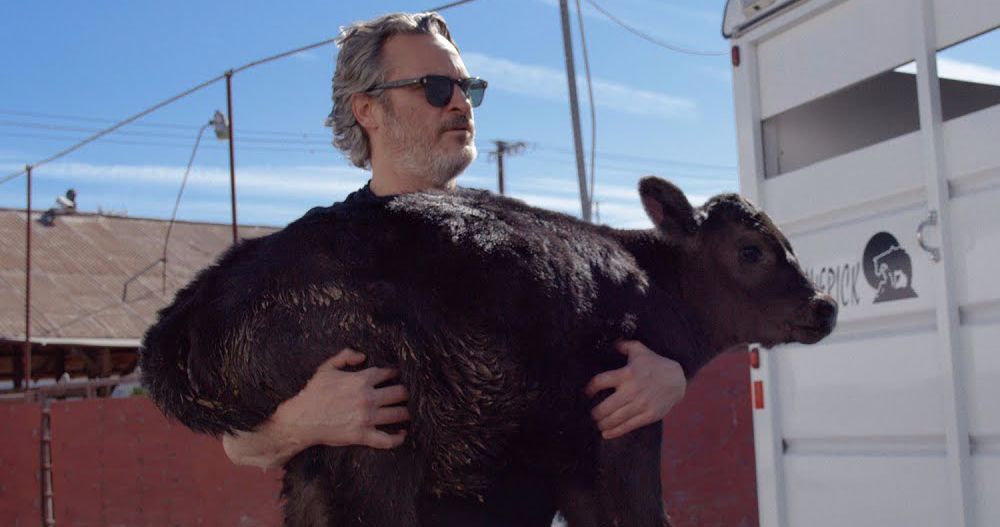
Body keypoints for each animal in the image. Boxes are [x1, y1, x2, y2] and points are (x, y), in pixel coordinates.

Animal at [140, 176, 836, 527]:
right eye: (752, 250)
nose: (825, 306)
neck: (654, 282)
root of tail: (185, 314)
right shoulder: (626, 425)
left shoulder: (568, 454)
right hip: (371, 435)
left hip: (313, 457)